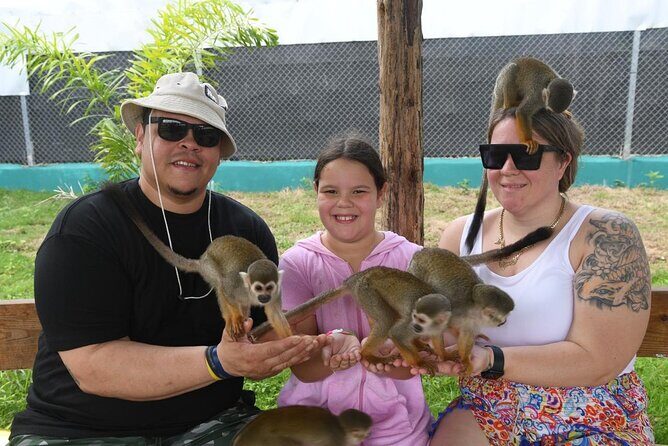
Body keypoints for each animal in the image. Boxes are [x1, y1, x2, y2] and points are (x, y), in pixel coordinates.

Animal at [102, 183, 292, 341]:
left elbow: (275, 314)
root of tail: (203, 259)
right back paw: (233, 319)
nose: (264, 297)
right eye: (258, 288)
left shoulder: (277, 293)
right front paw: (236, 318)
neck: (251, 294)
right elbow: (226, 291)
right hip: (210, 268)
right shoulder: (235, 285)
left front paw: (293, 340)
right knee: (220, 285)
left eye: (269, 288)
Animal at [249, 266, 452, 374]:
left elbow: (437, 337)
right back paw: (367, 354)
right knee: (387, 321)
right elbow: (397, 334)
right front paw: (419, 363)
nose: (418, 328)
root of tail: (355, 278)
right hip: (366, 290)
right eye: (419, 319)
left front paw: (445, 355)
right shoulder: (413, 321)